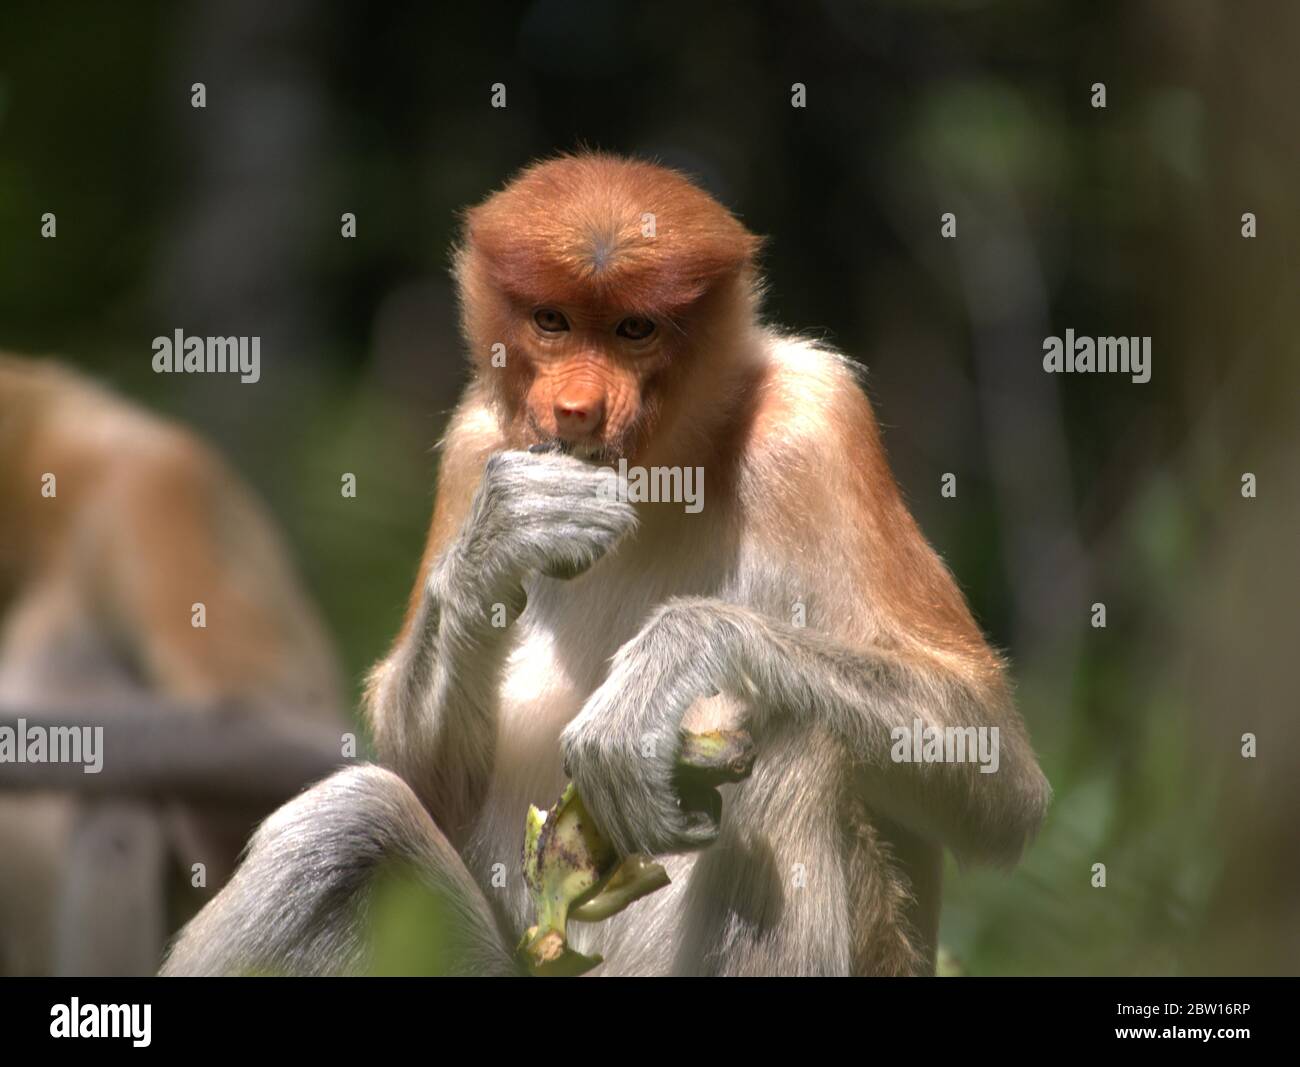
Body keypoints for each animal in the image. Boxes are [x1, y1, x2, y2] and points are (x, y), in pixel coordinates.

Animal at [162, 152, 1050, 977]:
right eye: (551, 319)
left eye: (635, 329)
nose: (577, 410)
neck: (672, 464)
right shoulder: (478, 440)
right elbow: (425, 776)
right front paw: (505, 534)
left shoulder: (817, 419)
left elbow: (996, 764)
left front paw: (674, 658)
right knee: (350, 826)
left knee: (798, 741)